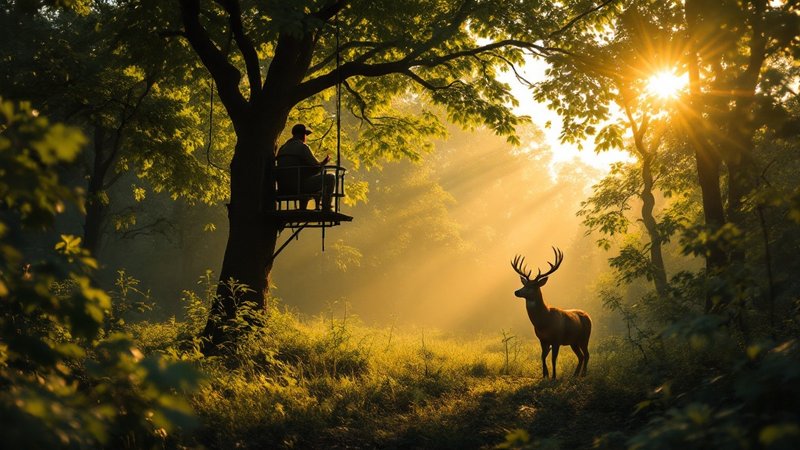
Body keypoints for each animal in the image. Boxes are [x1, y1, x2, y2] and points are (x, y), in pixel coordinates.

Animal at [511, 247, 591, 379]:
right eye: (524, 284)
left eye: (533, 286)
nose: (516, 292)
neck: (544, 322)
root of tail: (588, 316)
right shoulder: (542, 339)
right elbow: (542, 356)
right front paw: (545, 375)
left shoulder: (557, 339)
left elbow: (554, 359)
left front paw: (554, 376)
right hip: (573, 341)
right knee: (580, 356)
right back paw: (574, 375)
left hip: (585, 337)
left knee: (587, 354)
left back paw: (583, 375)